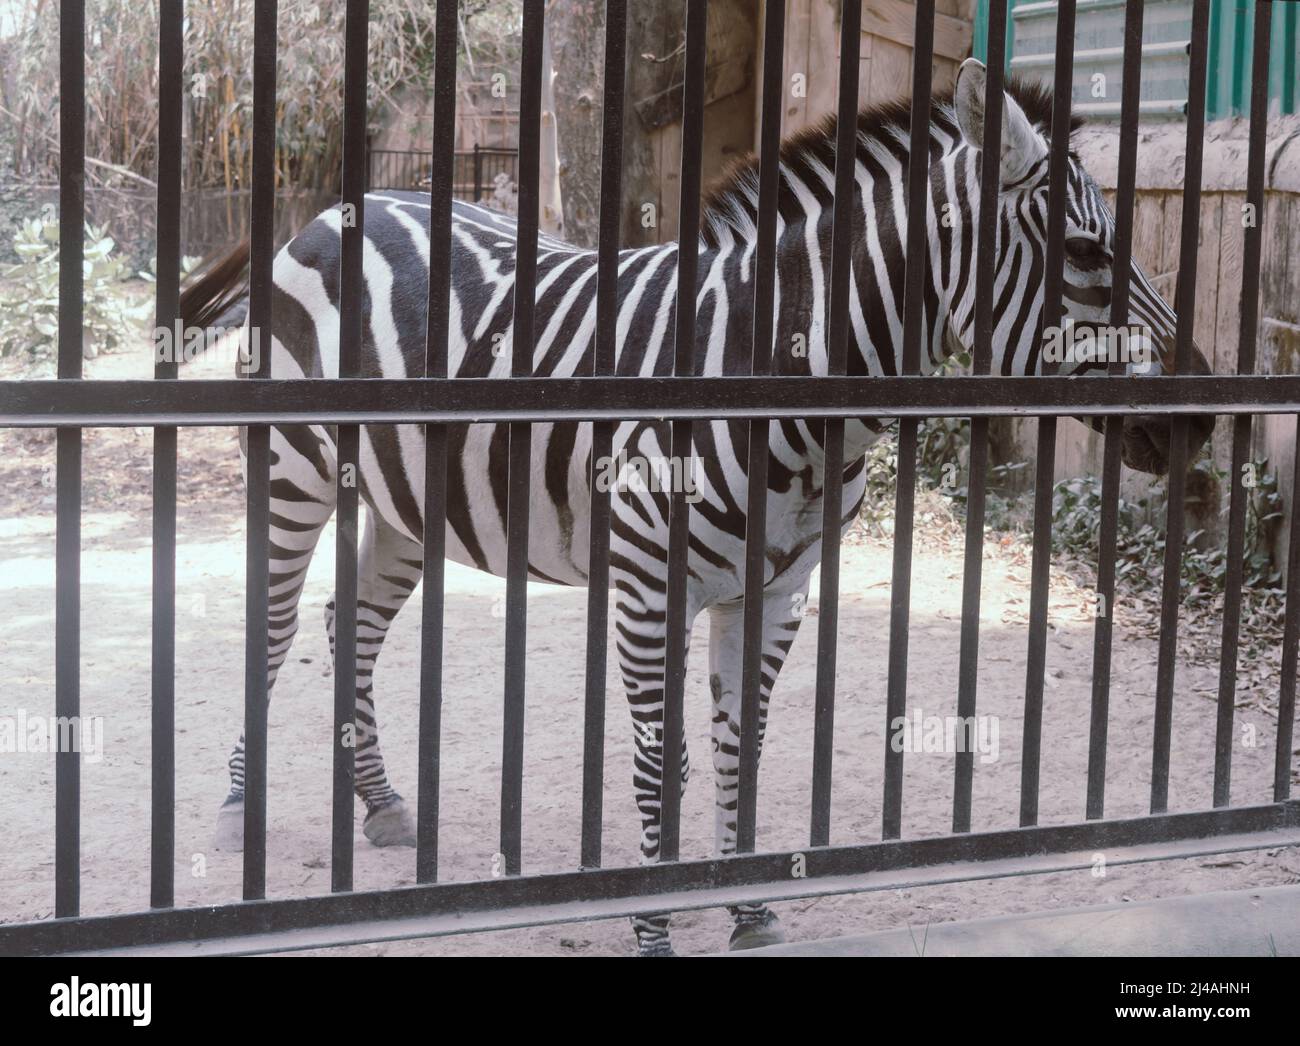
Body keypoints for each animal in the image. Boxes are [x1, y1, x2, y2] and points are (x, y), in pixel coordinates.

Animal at [181, 59, 1214, 956]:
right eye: (1087, 251)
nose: (1202, 414)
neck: (780, 391)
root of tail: (339, 207)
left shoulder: (779, 592)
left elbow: (738, 746)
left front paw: (747, 908)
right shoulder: (649, 590)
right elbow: (658, 757)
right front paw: (652, 923)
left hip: (409, 497)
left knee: (349, 620)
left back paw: (383, 803)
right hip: (295, 472)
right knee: (273, 627)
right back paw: (237, 811)